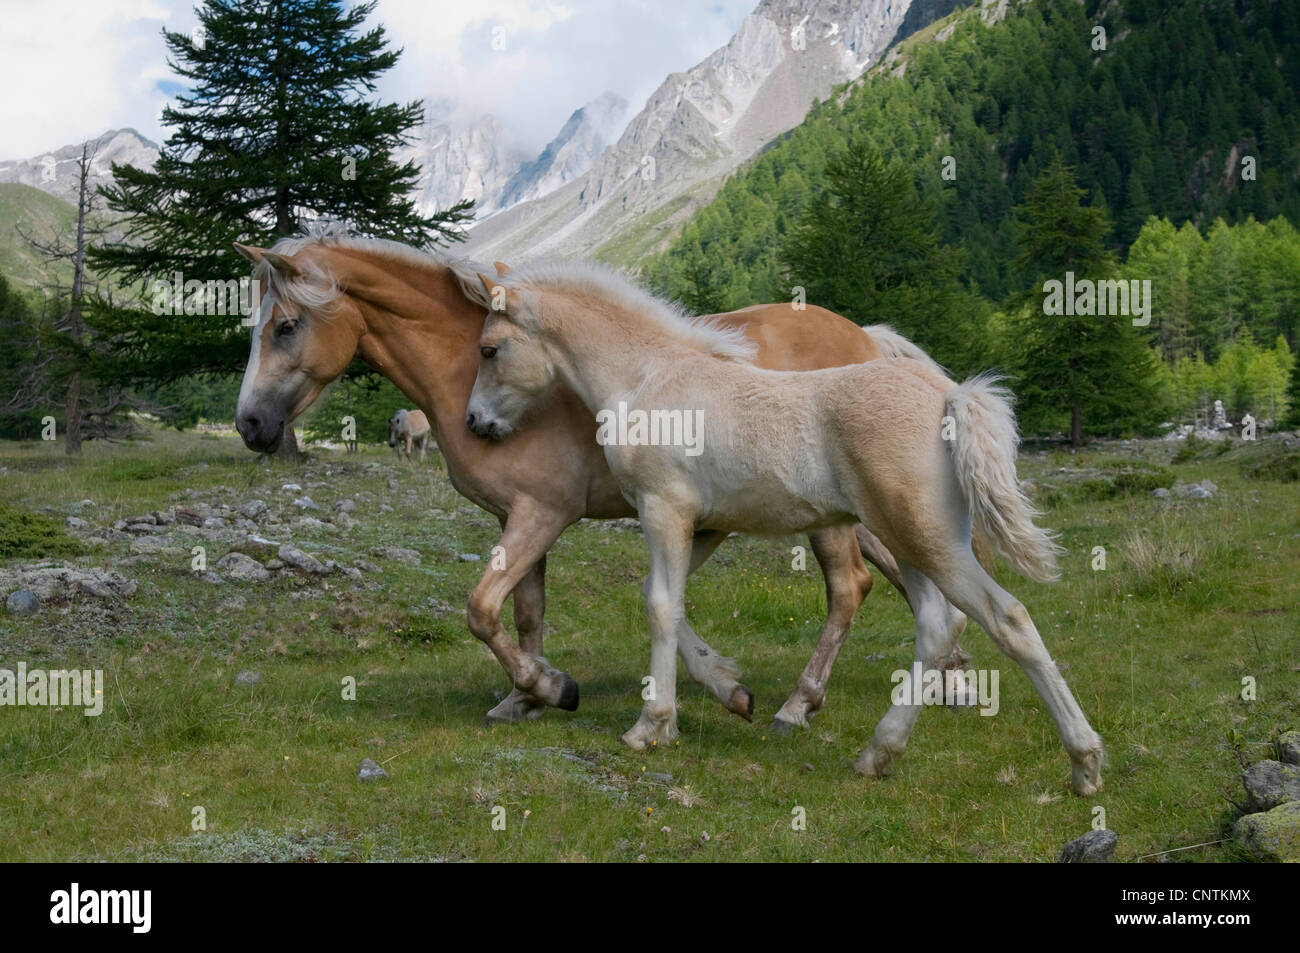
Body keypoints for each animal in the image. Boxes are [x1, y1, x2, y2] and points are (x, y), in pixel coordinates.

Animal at [230, 227, 965, 732]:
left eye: (286, 326)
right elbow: (527, 611)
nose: (251, 423)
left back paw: (800, 704)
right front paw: (523, 696)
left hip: (832, 521)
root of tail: (866, 339)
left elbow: (482, 609)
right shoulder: (519, 518)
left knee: (852, 587)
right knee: (910, 575)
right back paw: (949, 679)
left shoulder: (543, 513)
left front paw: (553, 687)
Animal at [465, 263, 1105, 795]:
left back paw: (1085, 764)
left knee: (1006, 617)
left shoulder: (664, 508)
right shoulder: (705, 525)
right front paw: (726, 691)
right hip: (909, 540)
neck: (648, 379)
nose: (475, 422)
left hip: (926, 538)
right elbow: (669, 600)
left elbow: (660, 606)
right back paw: (877, 753)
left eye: (489, 349)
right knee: (937, 624)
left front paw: (651, 726)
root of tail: (947, 393)